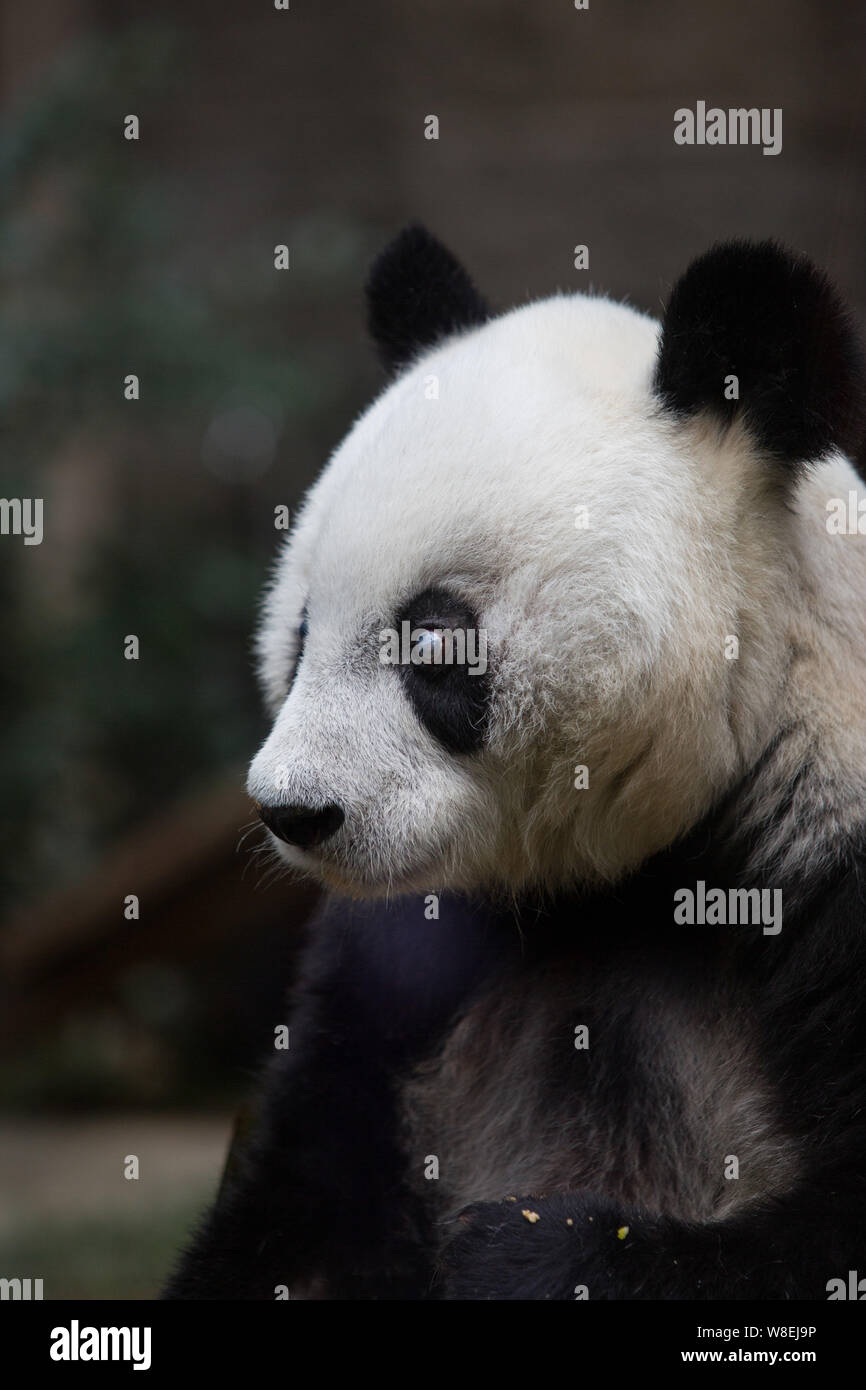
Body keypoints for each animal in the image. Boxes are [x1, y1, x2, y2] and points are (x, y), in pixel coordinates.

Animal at [165, 226, 866, 1300]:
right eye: (300, 634)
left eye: (431, 640)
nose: (295, 812)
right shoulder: (400, 955)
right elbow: (302, 1197)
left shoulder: (830, 850)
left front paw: (523, 1251)